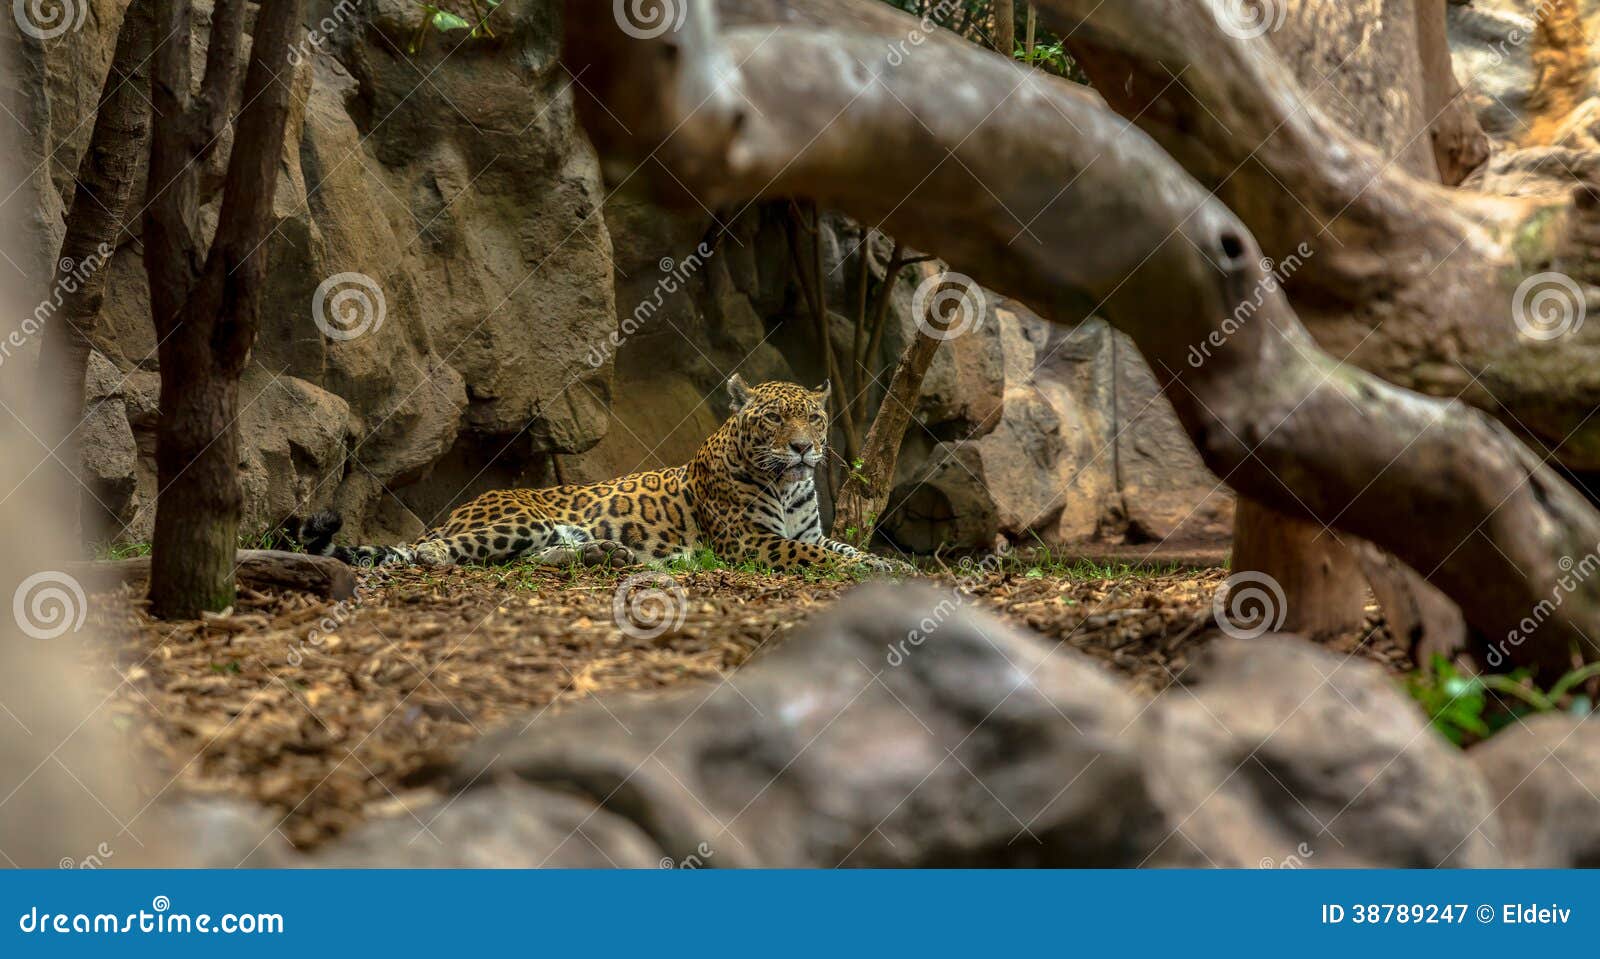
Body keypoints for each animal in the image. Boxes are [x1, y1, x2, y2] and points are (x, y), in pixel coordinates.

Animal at [289, 375, 912, 575]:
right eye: (774, 419)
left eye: (813, 417)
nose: (805, 449)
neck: (787, 485)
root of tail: (456, 511)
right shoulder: (751, 541)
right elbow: (815, 556)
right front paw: (877, 570)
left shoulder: (809, 531)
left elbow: (843, 548)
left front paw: (893, 563)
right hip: (518, 521)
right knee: (431, 553)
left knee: (528, 560)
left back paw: (605, 554)